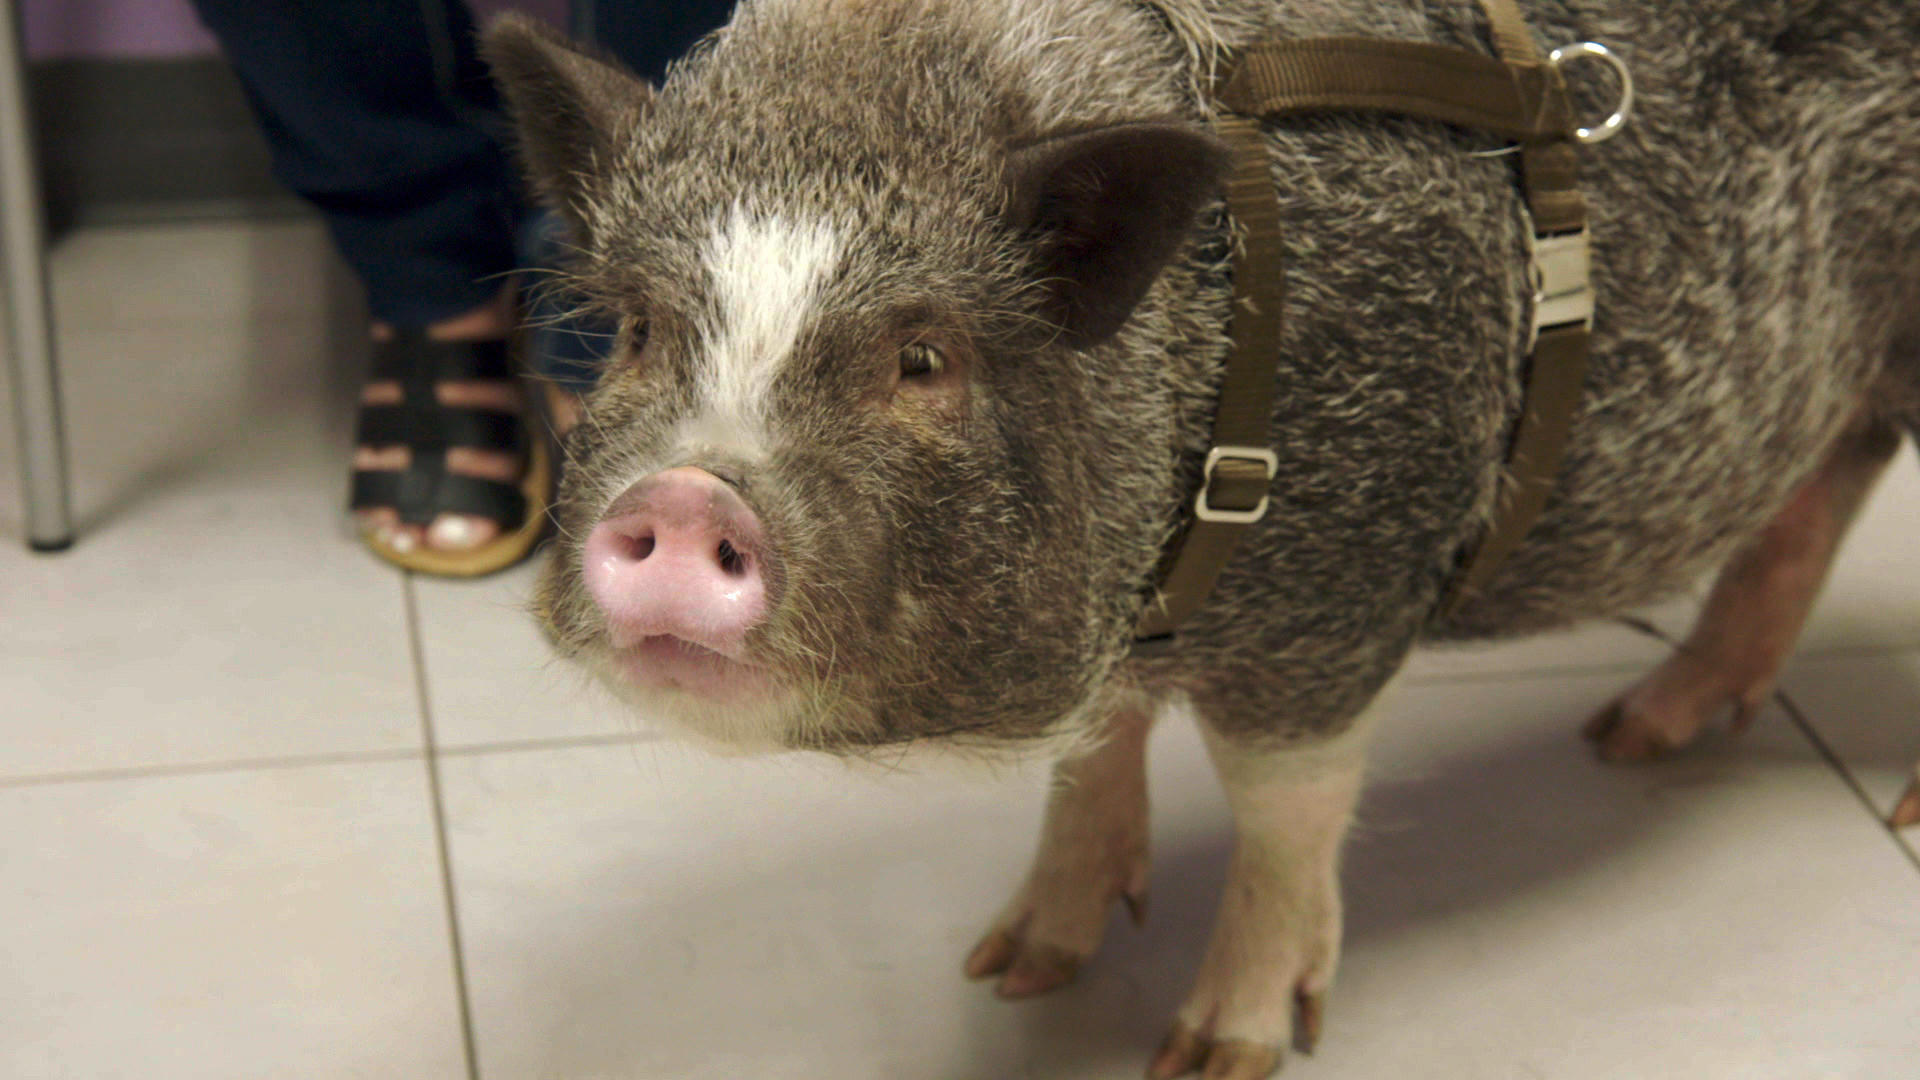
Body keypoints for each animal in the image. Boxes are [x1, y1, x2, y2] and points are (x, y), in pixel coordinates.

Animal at [482, 0, 1920, 1075]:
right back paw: (1631, 736)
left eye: (924, 357)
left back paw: (1881, 803)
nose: (685, 499)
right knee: (1825, 483)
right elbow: (1095, 753)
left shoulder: (1345, 595)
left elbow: (1284, 807)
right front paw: (1013, 970)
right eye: (637, 330)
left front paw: (1215, 1054)